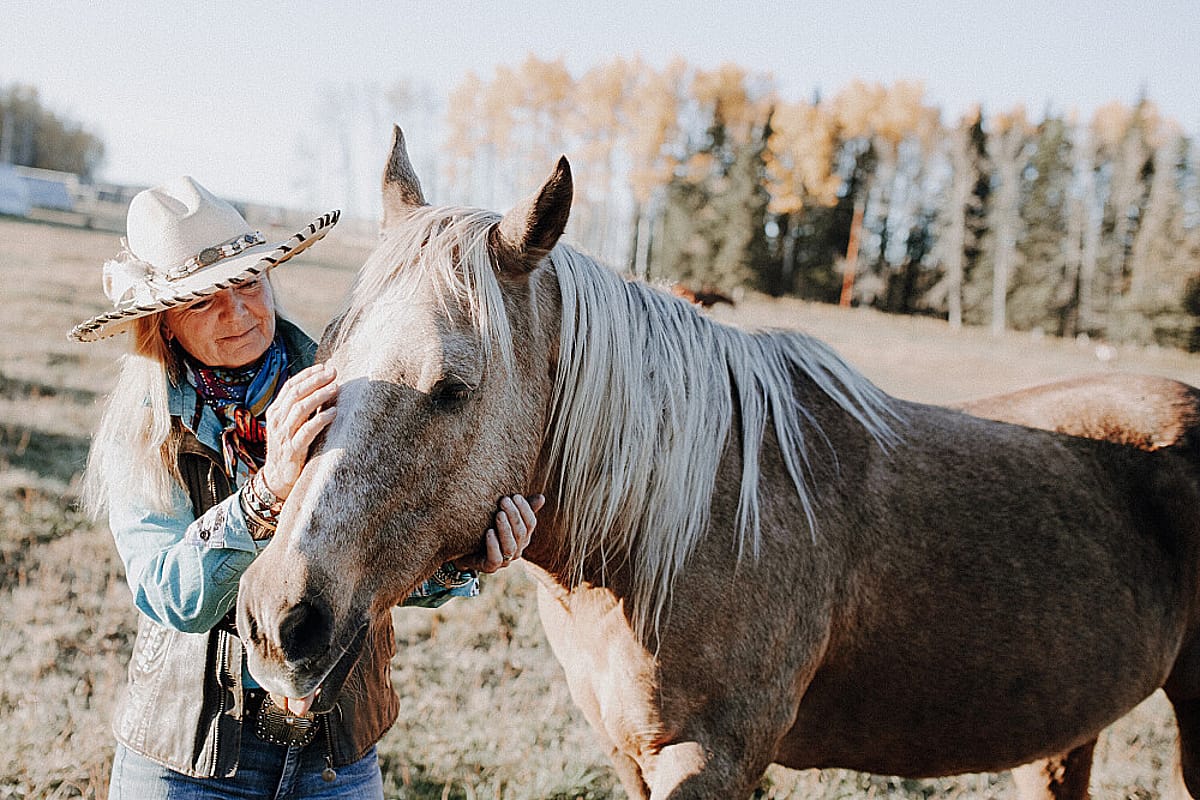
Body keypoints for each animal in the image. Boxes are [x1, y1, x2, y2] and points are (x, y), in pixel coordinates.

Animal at [236, 127, 1200, 799]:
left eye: (452, 387)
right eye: (327, 355)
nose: (277, 619)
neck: (683, 526)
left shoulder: (716, 756)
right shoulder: (630, 752)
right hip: (1066, 736)